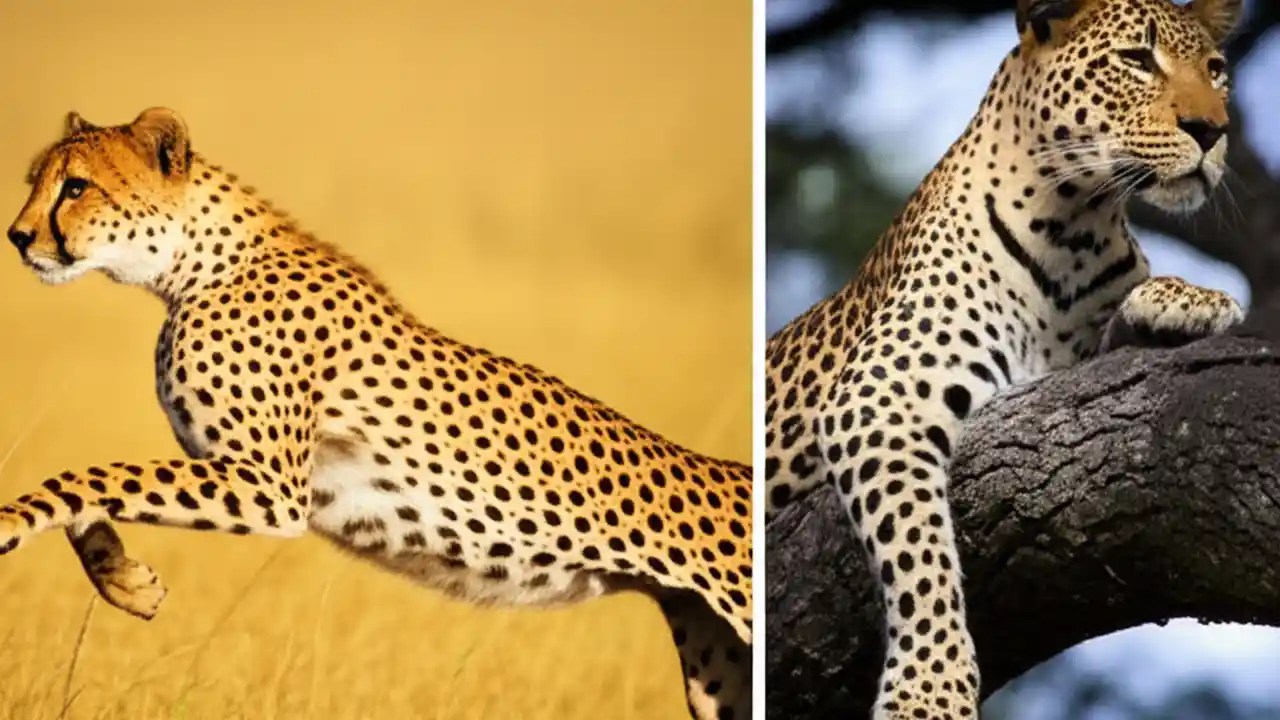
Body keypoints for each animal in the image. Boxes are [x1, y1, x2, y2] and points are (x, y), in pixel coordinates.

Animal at [3, 107, 752, 720]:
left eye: (76, 187)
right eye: (36, 180)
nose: (17, 236)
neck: (194, 263)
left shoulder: (269, 488)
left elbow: (85, 477)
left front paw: (12, 526)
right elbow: (92, 490)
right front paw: (126, 581)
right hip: (721, 680)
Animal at [764, 0, 1246, 717]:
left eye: (1215, 71)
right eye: (1137, 59)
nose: (1211, 131)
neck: (1077, 227)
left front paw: (1183, 300)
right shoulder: (881, 392)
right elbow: (919, 552)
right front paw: (930, 689)